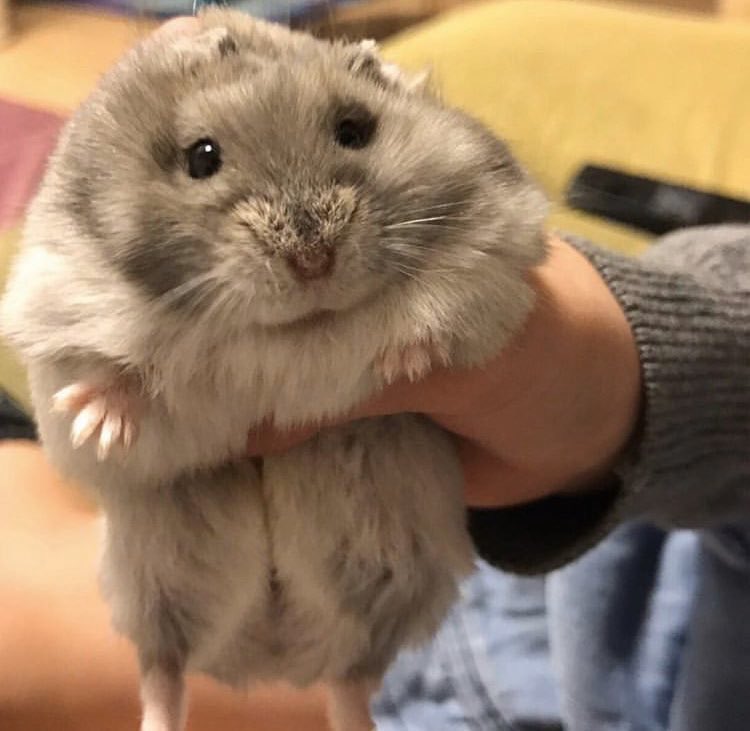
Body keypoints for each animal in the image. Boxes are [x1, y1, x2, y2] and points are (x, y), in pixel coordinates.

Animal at [0, 9, 547, 731]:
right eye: (202, 157)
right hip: (146, 590)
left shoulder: (492, 248)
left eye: (354, 130)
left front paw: (404, 362)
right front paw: (97, 422)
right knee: (164, 672)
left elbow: (437, 306)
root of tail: (272, 663)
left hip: (394, 593)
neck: (290, 330)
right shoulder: (57, 294)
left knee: (351, 682)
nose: (313, 259)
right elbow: (109, 367)